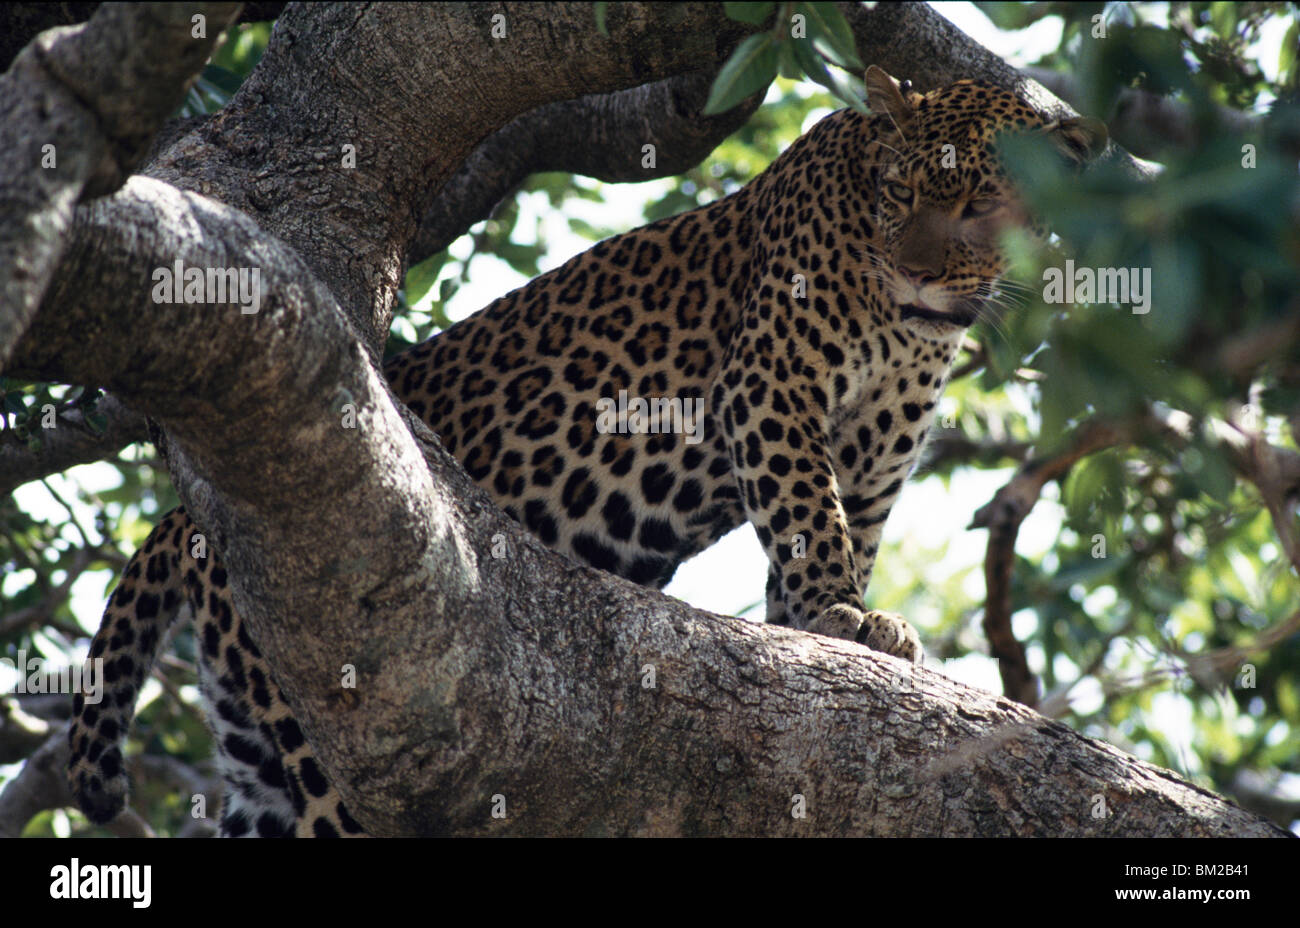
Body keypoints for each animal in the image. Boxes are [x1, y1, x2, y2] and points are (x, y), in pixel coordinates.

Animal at [66, 66, 1107, 837]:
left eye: (983, 203)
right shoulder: (772, 381)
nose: (917, 270)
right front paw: (840, 618)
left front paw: (815, 629)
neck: (909, 326)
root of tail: (178, 522)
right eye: (900, 191)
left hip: (262, 752)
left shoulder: (877, 453)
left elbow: (824, 530)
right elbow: (806, 511)